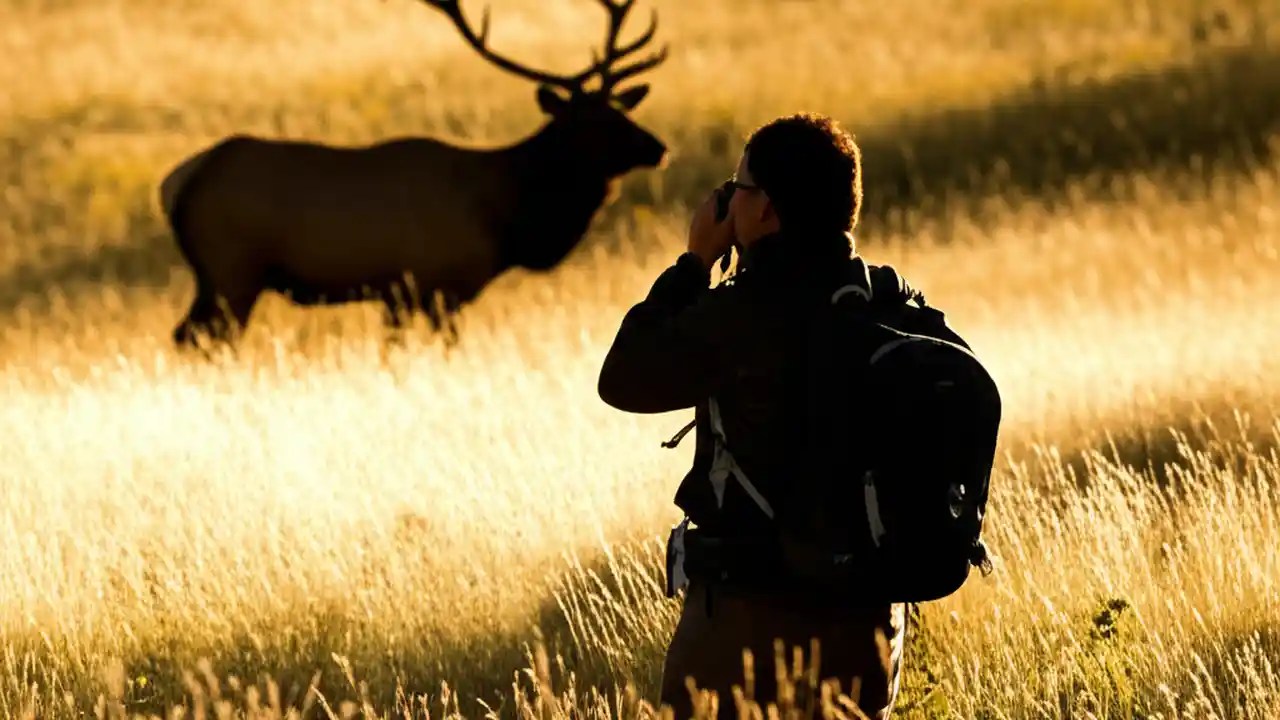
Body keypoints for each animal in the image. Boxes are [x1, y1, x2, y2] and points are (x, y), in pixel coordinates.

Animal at [158, 0, 668, 350]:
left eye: (621, 110)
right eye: (591, 123)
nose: (658, 147)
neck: (506, 216)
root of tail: (175, 184)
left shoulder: (395, 295)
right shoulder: (435, 287)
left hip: (217, 278)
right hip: (232, 271)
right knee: (201, 338)